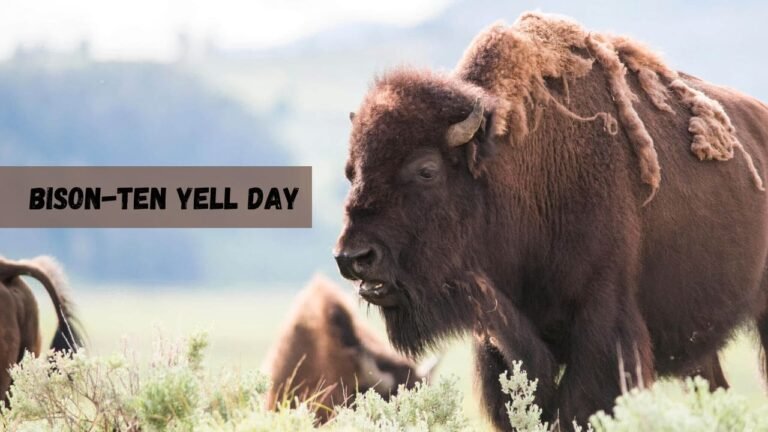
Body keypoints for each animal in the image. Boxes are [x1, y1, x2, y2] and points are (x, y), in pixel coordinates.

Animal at [334, 12, 768, 430]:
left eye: (426, 170)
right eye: (351, 171)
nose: (353, 257)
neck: (512, 172)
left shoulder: (601, 321)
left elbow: (579, 406)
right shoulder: (500, 337)